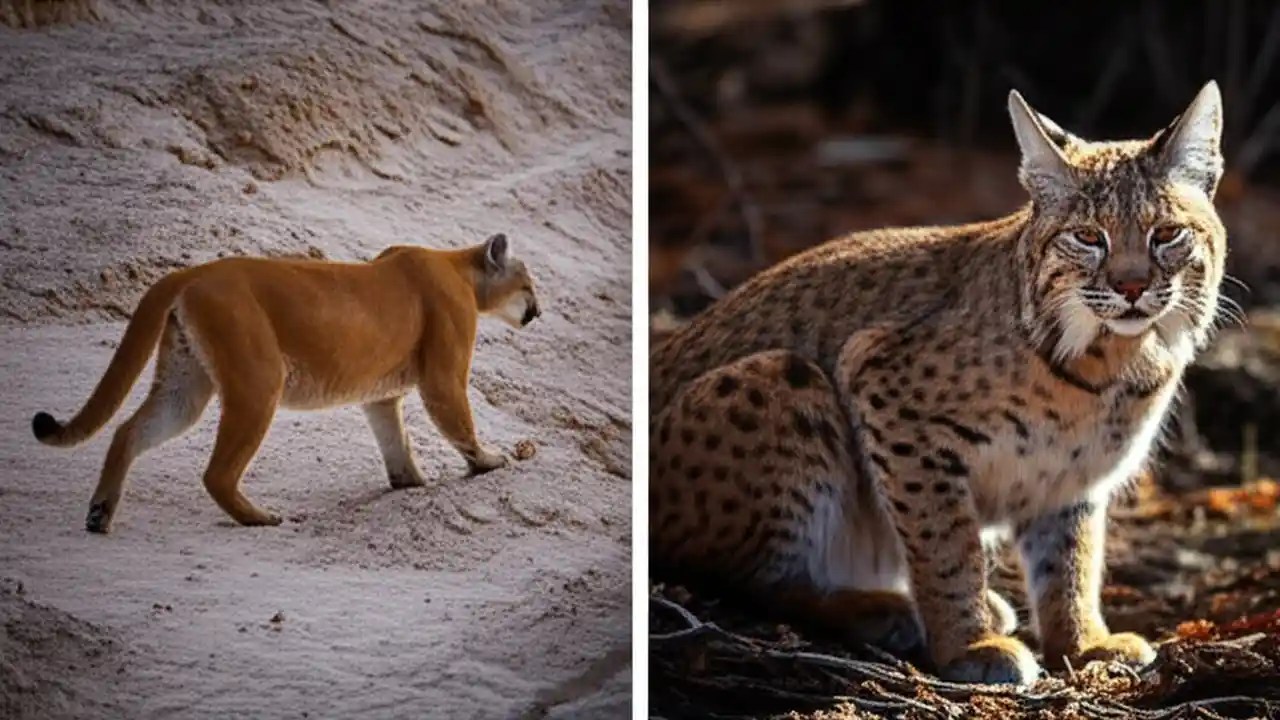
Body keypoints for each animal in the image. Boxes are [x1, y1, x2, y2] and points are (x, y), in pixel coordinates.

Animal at [32, 233, 540, 533]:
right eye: (529, 285)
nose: (538, 310)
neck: (460, 272)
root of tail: (191, 271)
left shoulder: (382, 396)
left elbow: (395, 438)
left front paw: (408, 481)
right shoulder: (443, 375)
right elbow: (458, 421)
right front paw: (490, 461)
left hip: (185, 382)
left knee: (128, 431)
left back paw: (99, 514)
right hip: (259, 380)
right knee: (215, 472)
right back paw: (260, 517)